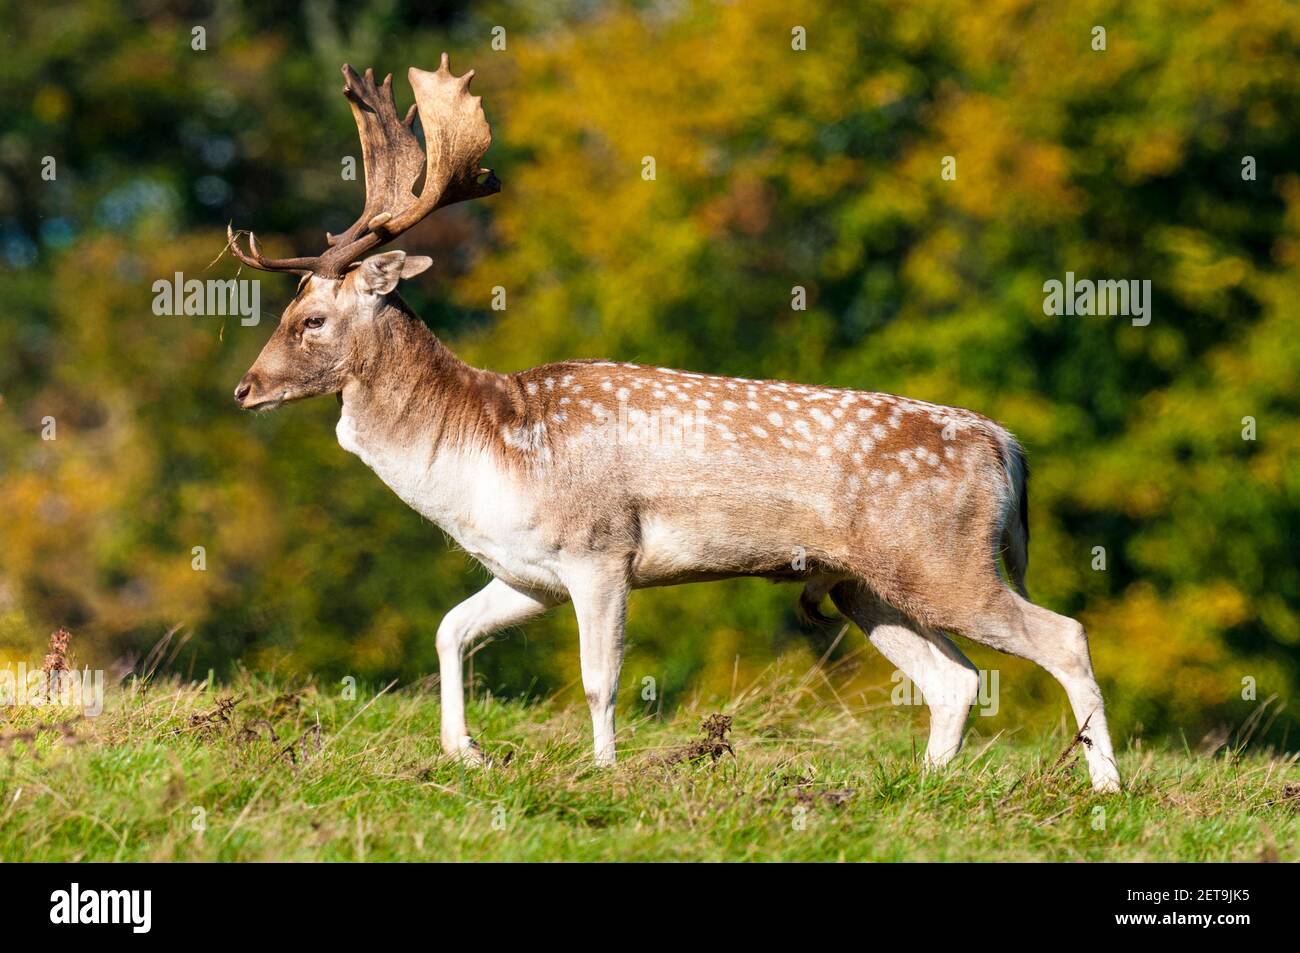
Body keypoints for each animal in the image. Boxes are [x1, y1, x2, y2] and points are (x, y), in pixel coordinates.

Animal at [229, 56, 1122, 792]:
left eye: (310, 318)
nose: (244, 388)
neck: (482, 450)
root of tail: (1007, 446)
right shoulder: (528, 572)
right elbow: (451, 630)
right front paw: (467, 751)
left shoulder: (600, 547)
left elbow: (601, 676)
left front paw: (602, 770)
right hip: (866, 583)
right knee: (956, 679)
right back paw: (928, 786)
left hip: (946, 560)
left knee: (1066, 634)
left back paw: (1106, 786)